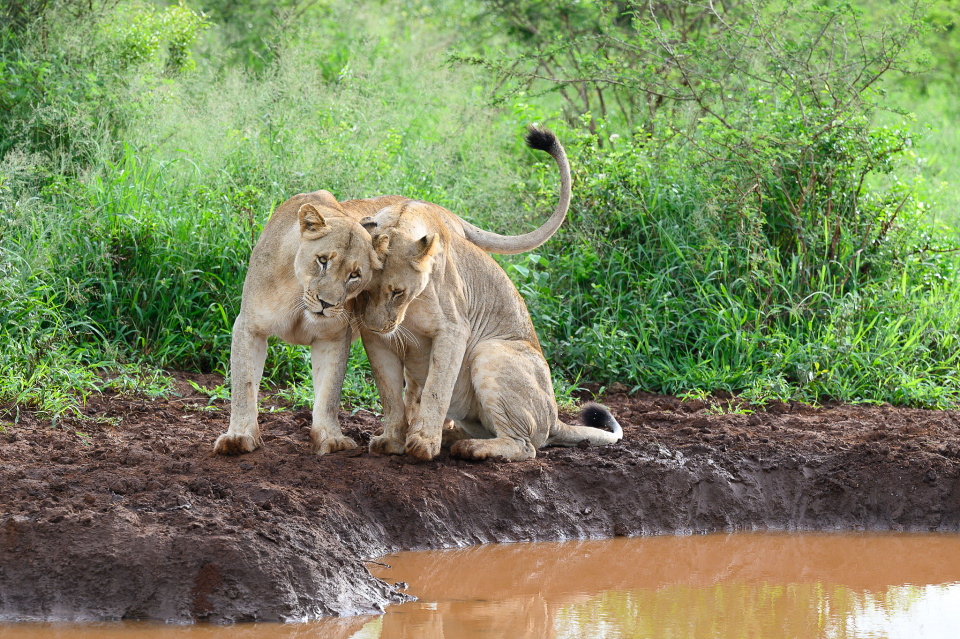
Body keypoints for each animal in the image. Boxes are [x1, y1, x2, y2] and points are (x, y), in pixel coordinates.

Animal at [358, 128, 622, 461]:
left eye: (397, 292)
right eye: (363, 288)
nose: (376, 325)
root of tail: (555, 418)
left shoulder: (454, 330)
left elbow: (437, 389)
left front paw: (423, 444)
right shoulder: (377, 341)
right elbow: (390, 394)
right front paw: (393, 440)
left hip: (490, 350)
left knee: (524, 446)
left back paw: (470, 448)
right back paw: (454, 436)